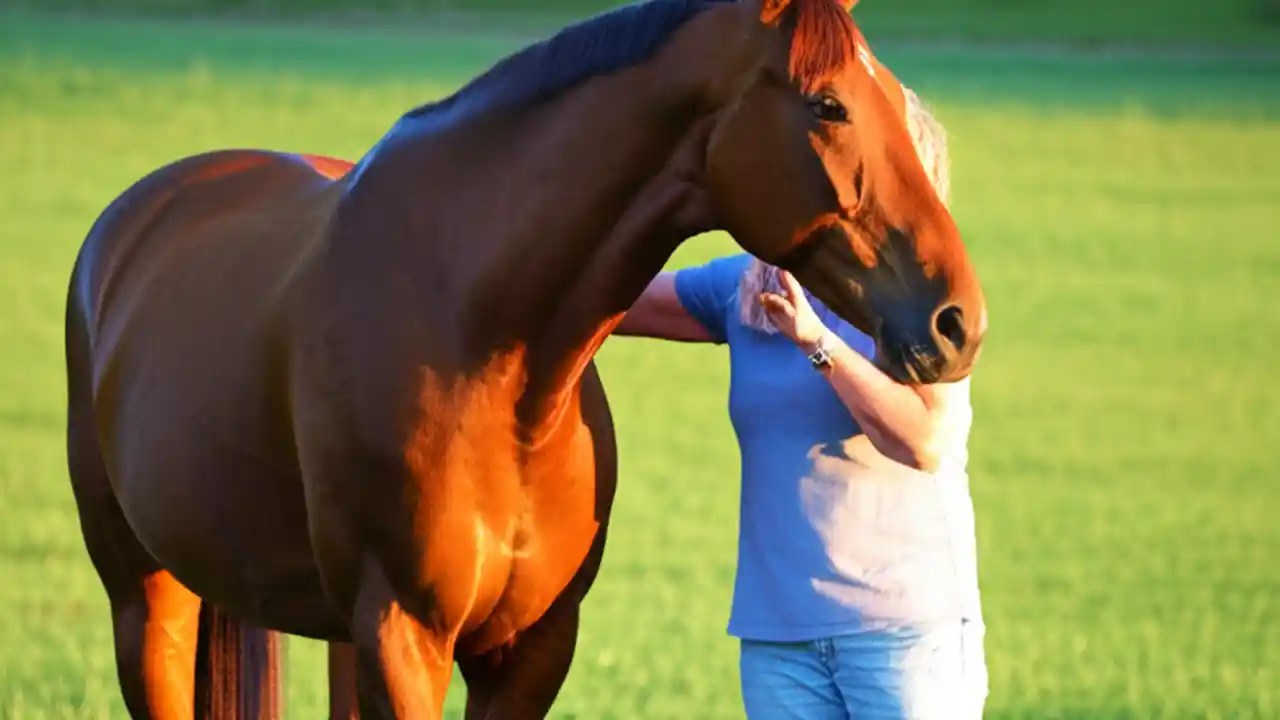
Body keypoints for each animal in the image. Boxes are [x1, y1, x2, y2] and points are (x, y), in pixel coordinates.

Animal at [64, 0, 986, 717]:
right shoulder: (404, 640)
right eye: (829, 104)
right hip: (149, 605)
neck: (488, 356)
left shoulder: (531, 650)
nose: (958, 324)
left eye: (892, 98)